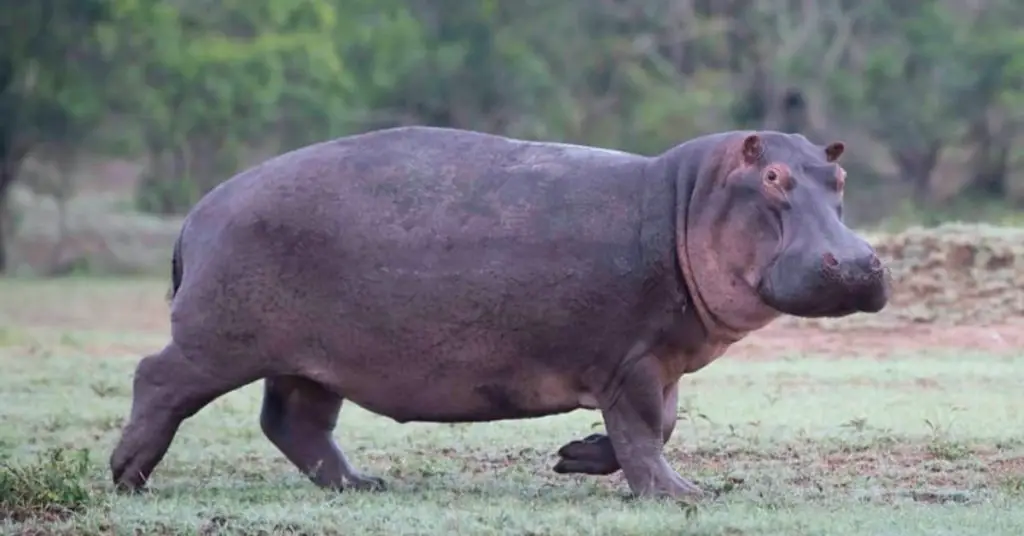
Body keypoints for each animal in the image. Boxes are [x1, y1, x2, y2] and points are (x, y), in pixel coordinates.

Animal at [109, 126, 891, 499]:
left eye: (839, 176)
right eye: (773, 176)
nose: (860, 263)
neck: (686, 203)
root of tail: (201, 209)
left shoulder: (660, 361)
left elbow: (660, 426)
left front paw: (573, 457)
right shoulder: (633, 361)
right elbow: (644, 432)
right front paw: (680, 495)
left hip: (312, 359)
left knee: (295, 422)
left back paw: (363, 484)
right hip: (219, 341)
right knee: (157, 377)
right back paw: (128, 475)